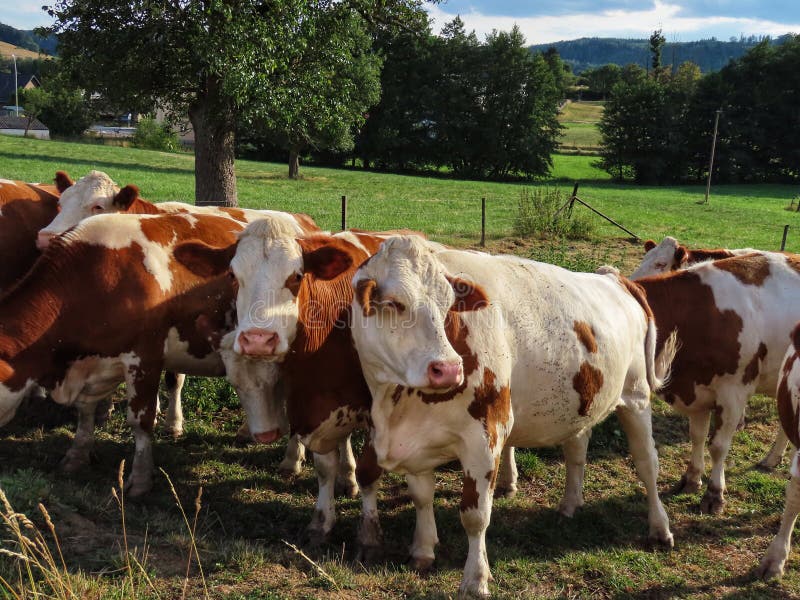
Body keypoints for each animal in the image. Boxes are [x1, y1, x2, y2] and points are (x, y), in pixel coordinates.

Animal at [0, 209, 315, 496]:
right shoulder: (94, 362)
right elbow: (85, 410)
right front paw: (76, 455)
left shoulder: (144, 359)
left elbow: (140, 421)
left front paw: (140, 479)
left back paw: (292, 460)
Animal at [346, 235, 677, 597]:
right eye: (393, 303)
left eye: (448, 304)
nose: (447, 369)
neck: (395, 406)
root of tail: (615, 278)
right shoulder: (416, 441)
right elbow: (421, 496)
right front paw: (422, 550)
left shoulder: (485, 436)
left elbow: (475, 515)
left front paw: (476, 579)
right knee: (577, 450)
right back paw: (570, 504)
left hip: (636, 396)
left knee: (647, 463)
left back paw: (660, 528)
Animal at [635, 252, 800, 514]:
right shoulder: (697, 390)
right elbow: (697, 436)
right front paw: (691, 479)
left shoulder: (734, 393)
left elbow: (718, 446)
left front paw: (714, 493)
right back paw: (772, 458)